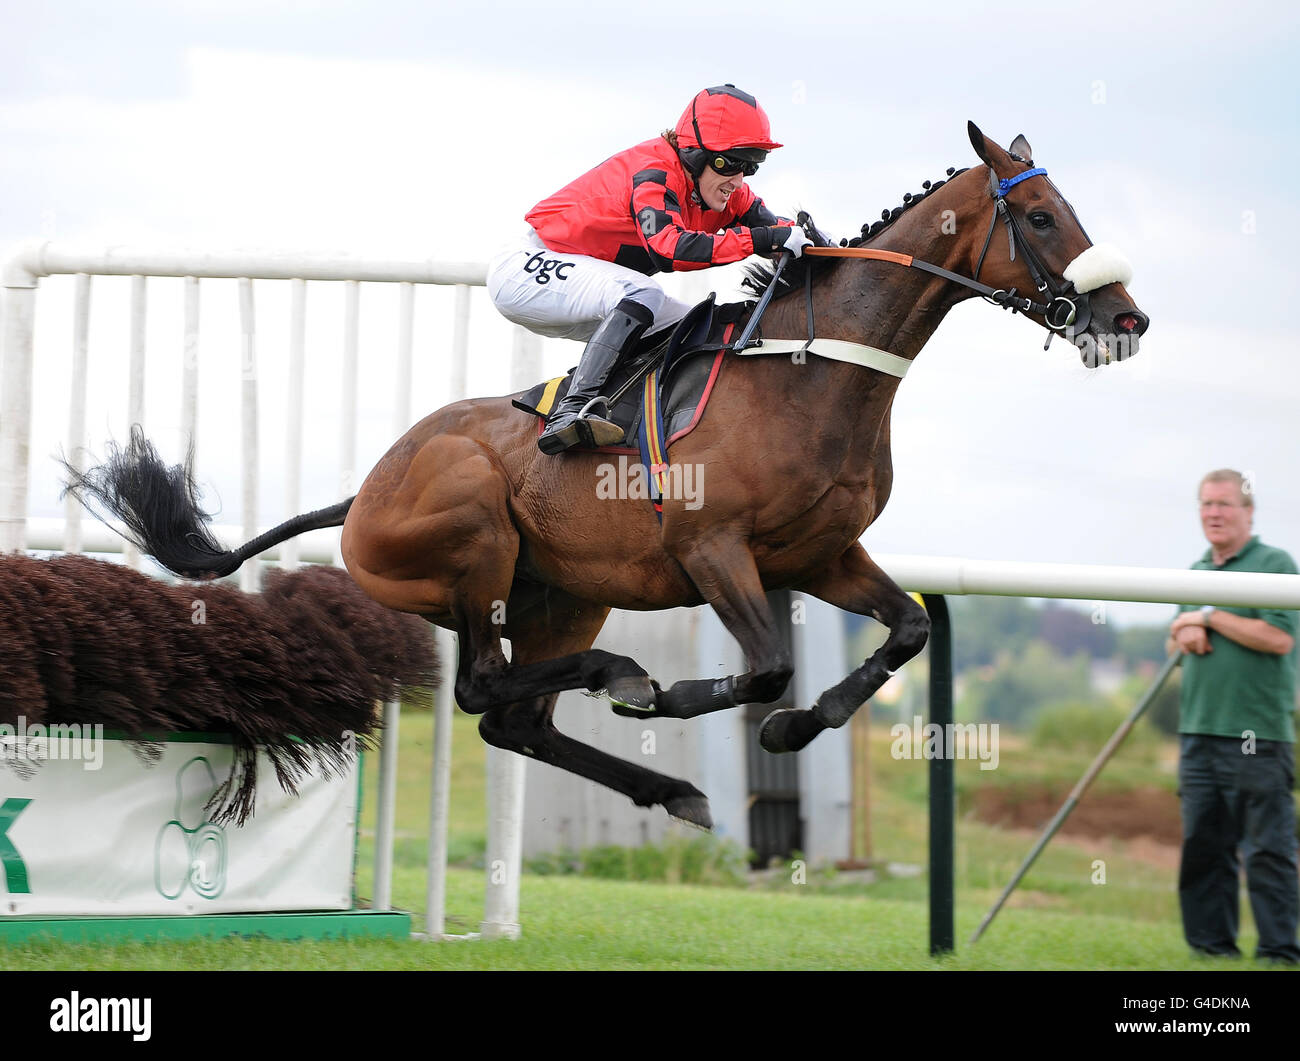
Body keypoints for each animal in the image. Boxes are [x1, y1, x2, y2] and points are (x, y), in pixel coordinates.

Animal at [65, 122, 1148, 831]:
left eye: (1070, 208)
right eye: (1039, 215)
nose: (1125, 317)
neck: (812, 368)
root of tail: (362, 493)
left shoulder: (821, 555)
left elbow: (910, 628)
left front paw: (797, 728)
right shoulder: (713, 548)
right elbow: (764, 663)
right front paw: (694, 701)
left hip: (565, 591)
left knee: (515, 717)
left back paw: (670, 785)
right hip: (475, 534)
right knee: (485, 686)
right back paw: (625, 677)